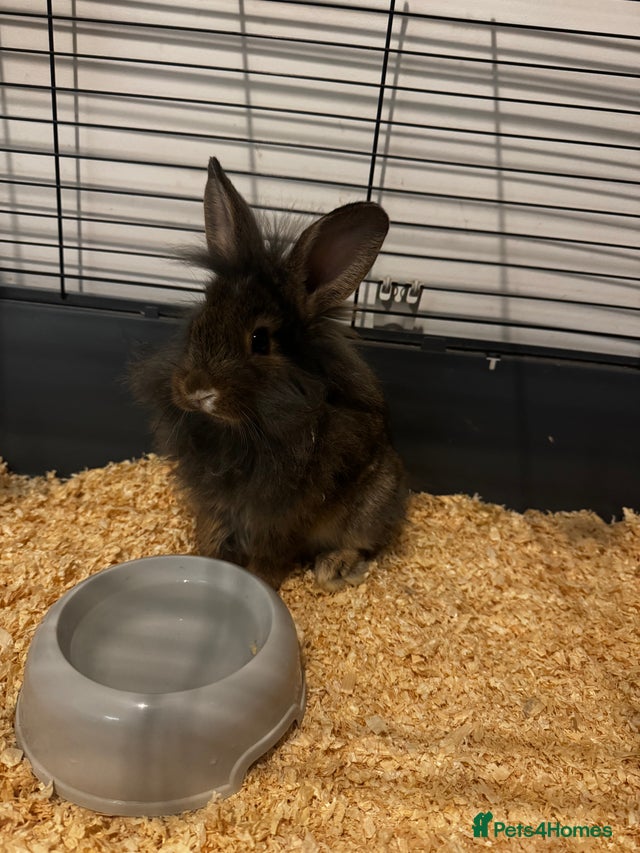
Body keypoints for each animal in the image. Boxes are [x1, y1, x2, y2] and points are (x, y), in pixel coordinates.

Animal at [132, 157, 407, 591]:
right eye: (201, 318)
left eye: (260, 340)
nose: (196, 391)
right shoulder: (214, 503)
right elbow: (213, 532)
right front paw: (208, 558)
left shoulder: (285, 512)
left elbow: (272, 550)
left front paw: (261, 578)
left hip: (372, 503)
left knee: (364, 543)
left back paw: (335, 568)